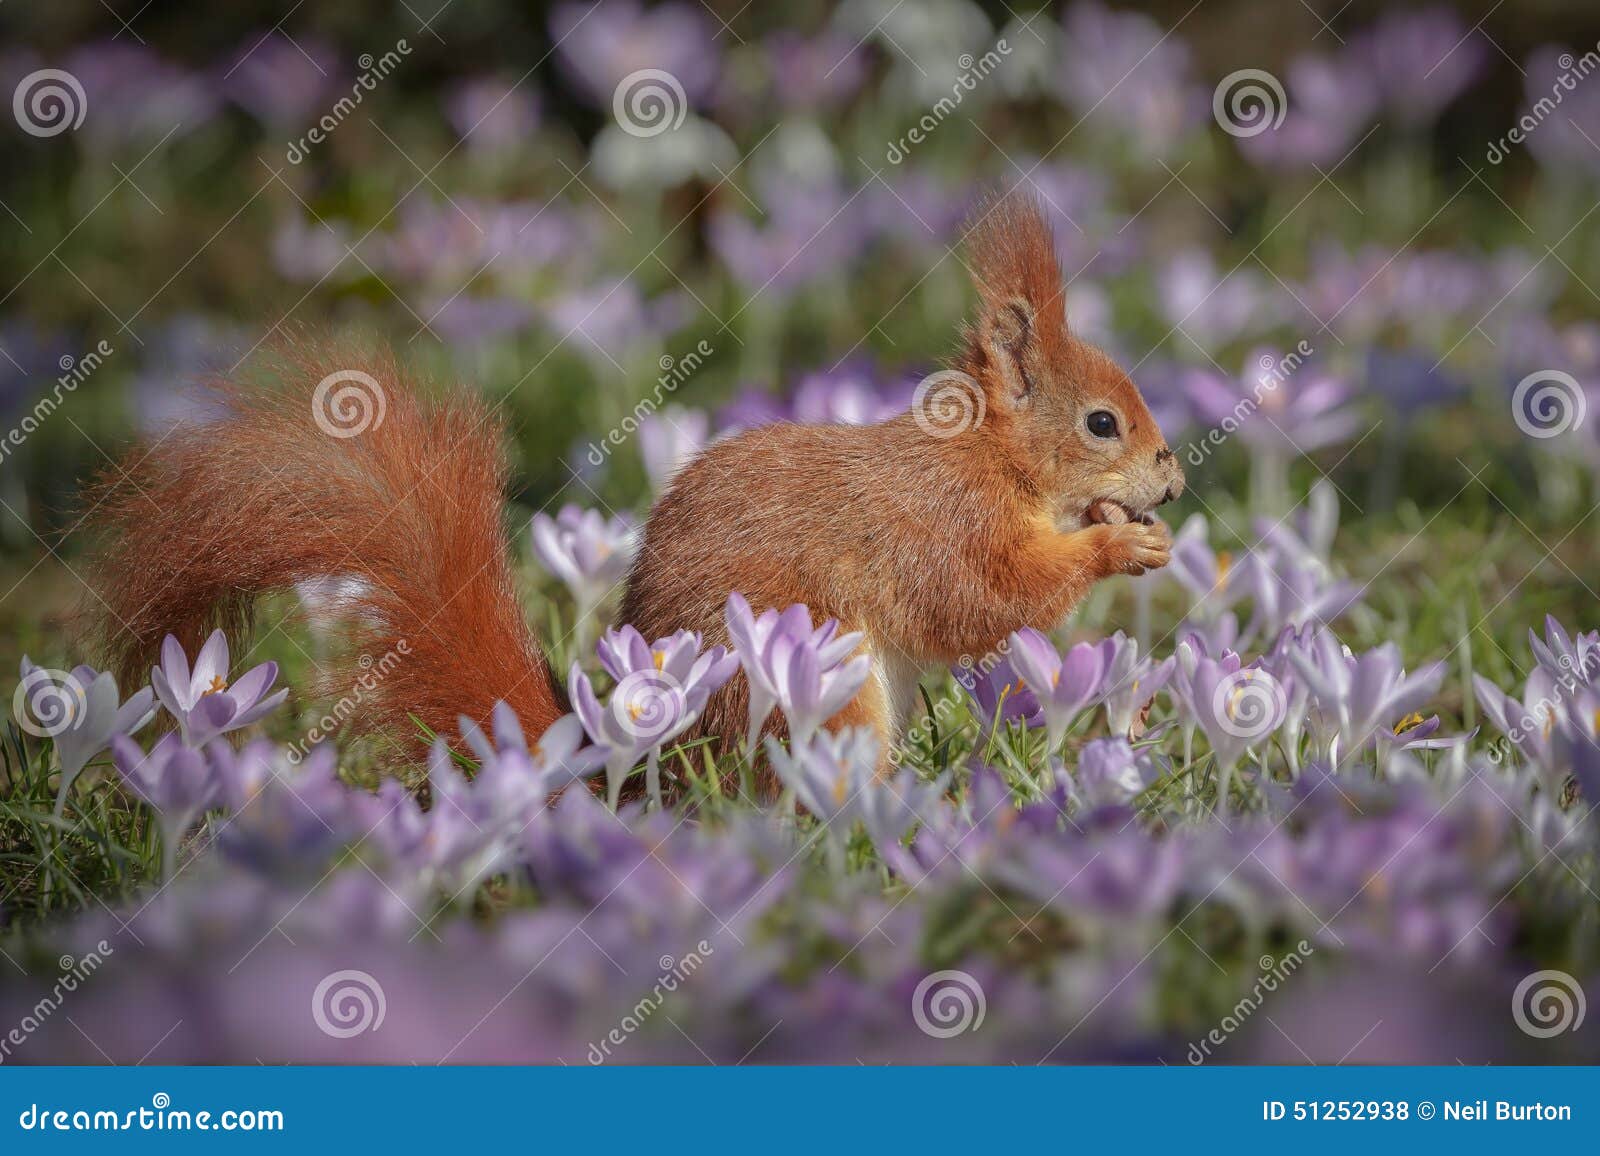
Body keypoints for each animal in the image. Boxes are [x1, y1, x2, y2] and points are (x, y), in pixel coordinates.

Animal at [83, 194, 1181, 770]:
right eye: (1101, 422)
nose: (1170, 480)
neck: (986, 458)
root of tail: (650, 777)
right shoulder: (939, 525)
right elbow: (983, 597)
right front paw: (1117, 542)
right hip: (818, 695)